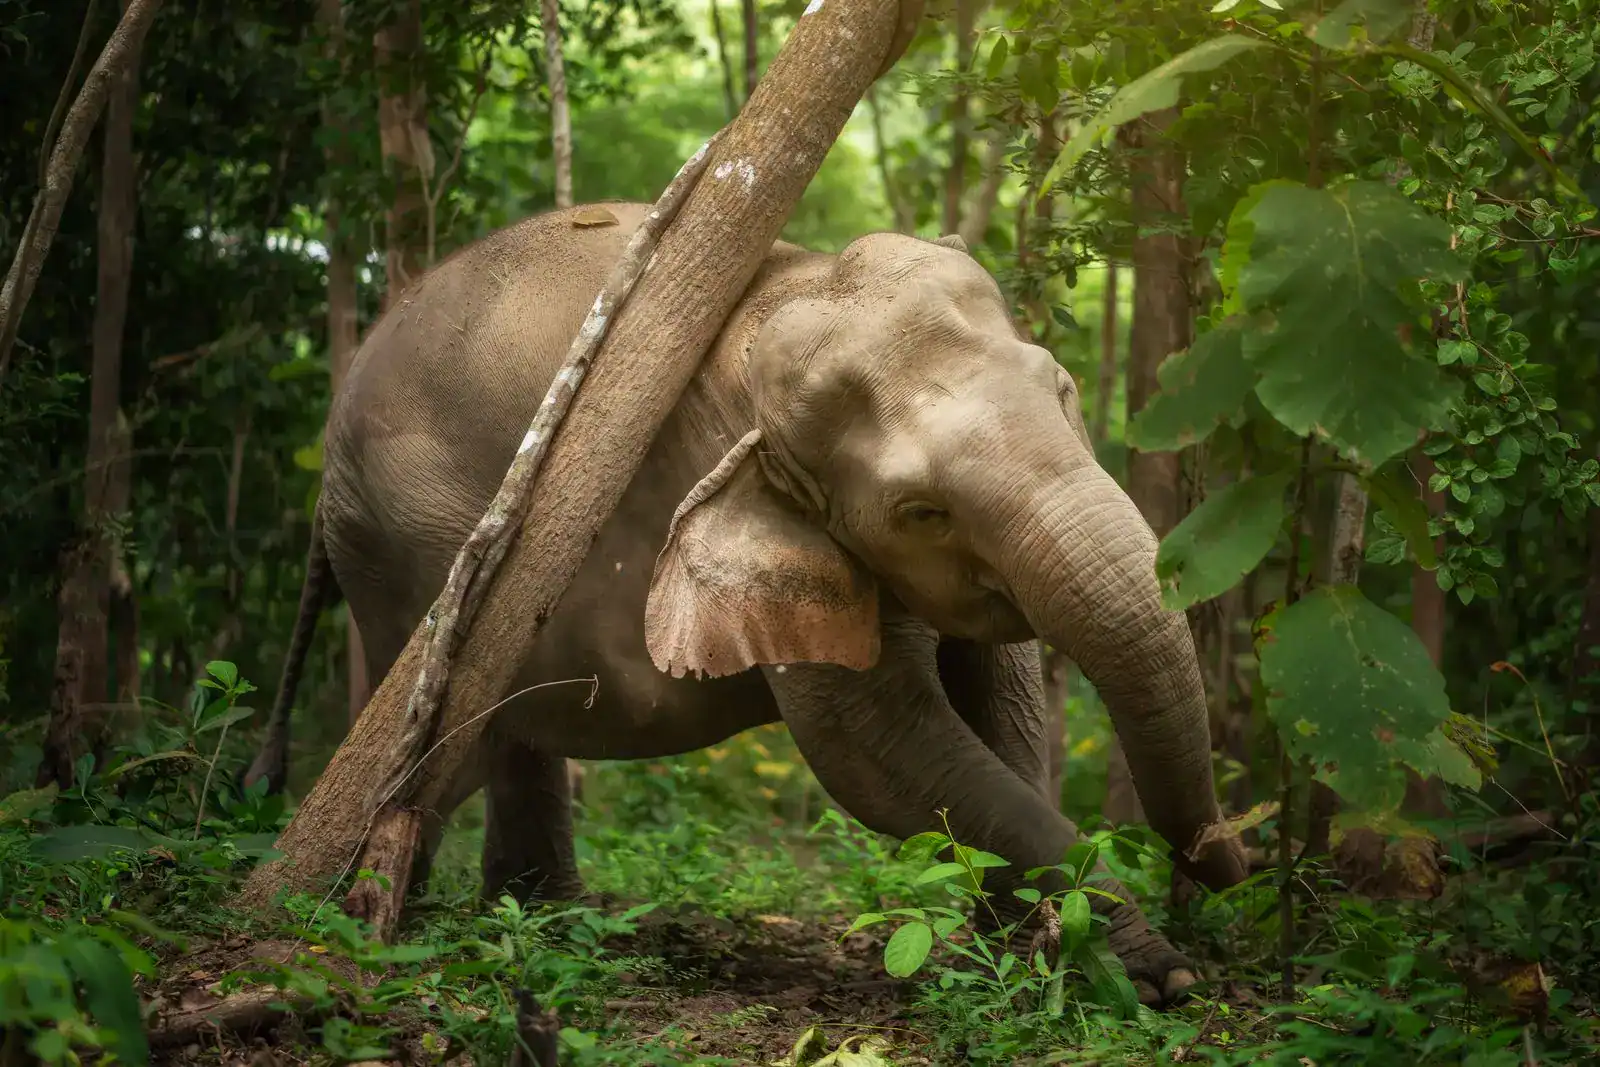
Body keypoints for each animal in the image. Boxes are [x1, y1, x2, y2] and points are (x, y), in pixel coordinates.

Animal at [250, 201, 1246, 1005]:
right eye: (920, 510)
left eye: (1065, 391)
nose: (1228, 860)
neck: (799, 280)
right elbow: (875, 752)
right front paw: (1154, 974)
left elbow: (1002, 701)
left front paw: (1018, 957)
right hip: (403, 552)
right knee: (452, 737)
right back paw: (382, 930)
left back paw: (542, 922)